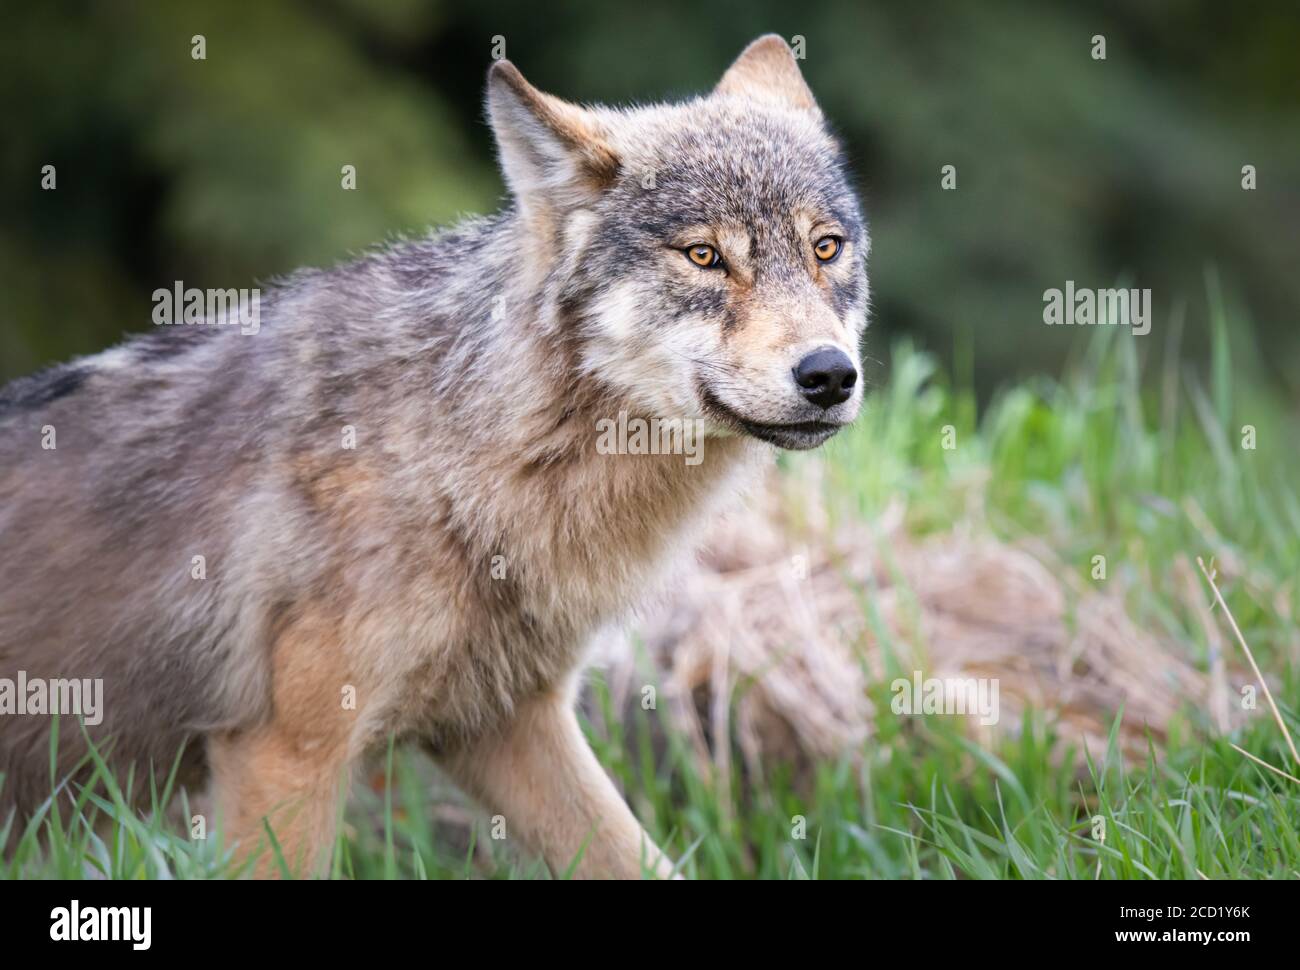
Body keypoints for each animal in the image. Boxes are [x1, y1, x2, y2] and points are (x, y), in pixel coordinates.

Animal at [0, 35, 868, 878]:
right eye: (703, 257)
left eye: (825, 249)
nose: (830, 374)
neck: (468, 453)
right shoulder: (285, 751)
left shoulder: (508, 722)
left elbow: (639, 860)